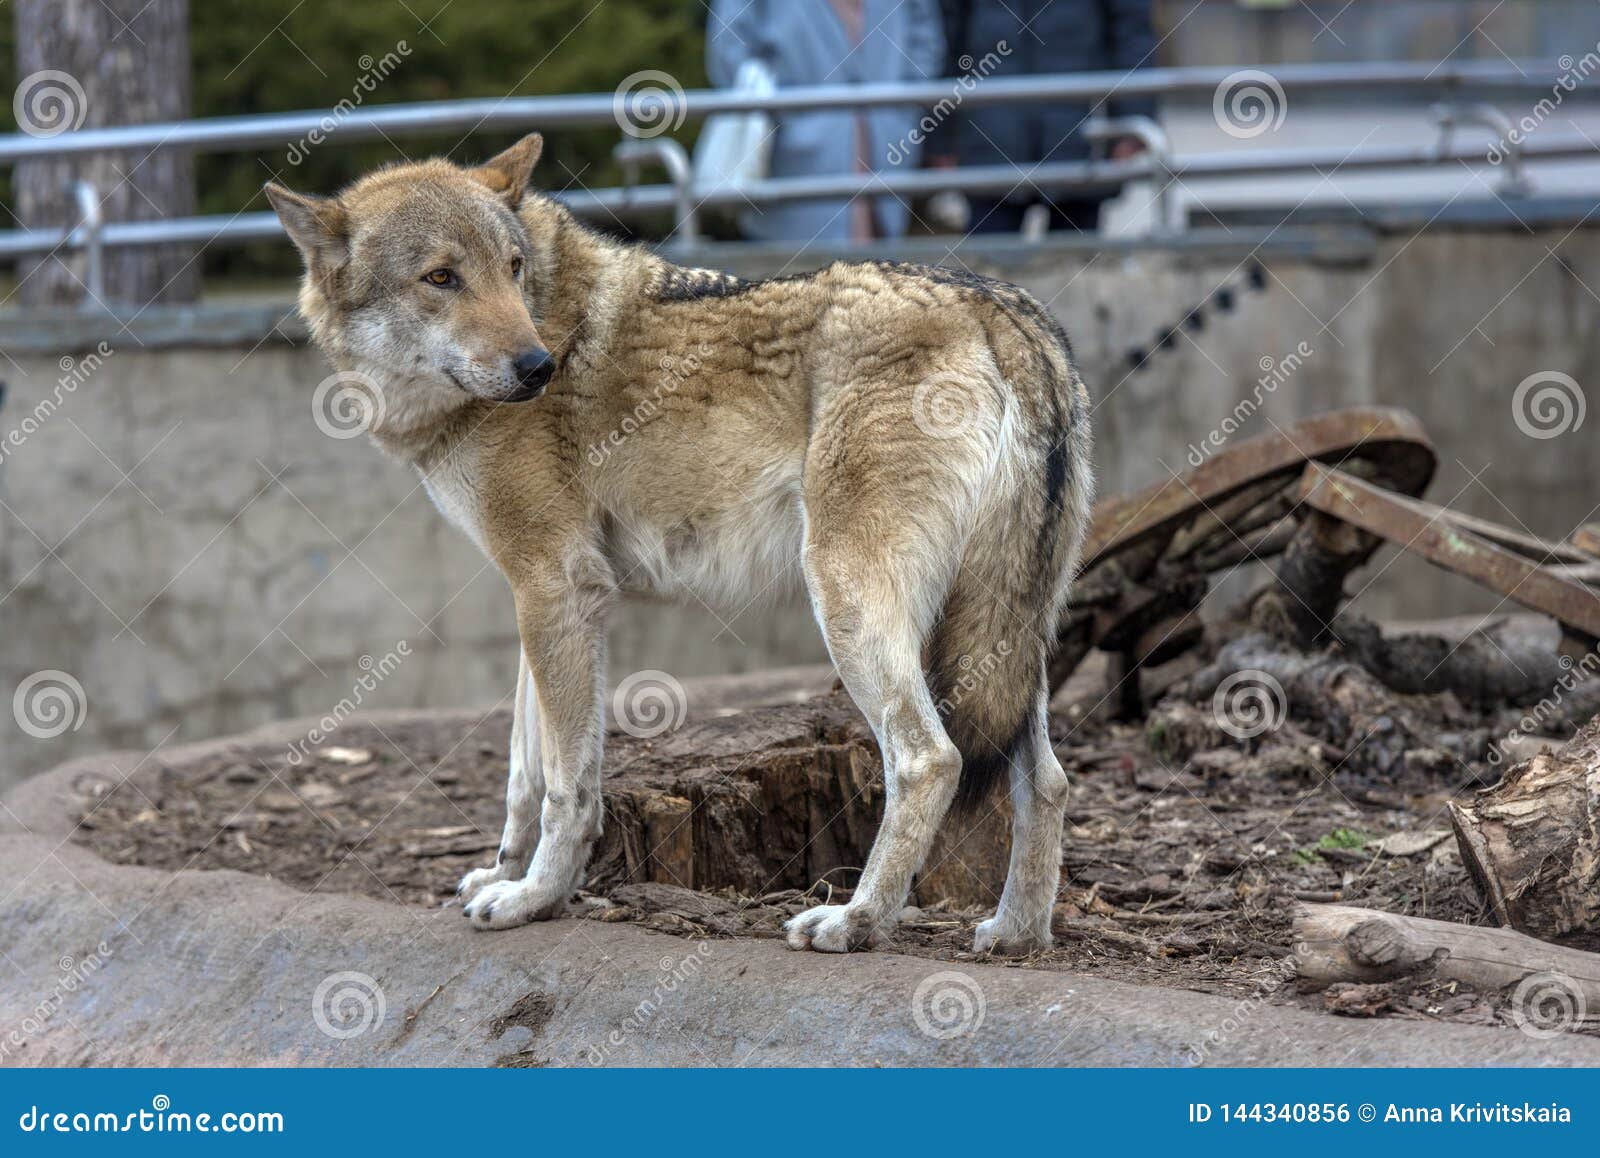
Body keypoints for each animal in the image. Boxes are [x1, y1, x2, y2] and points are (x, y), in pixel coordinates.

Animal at [266, 133, 1092, 954]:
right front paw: (500, 873)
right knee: (1049, 780)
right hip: (1001, 637)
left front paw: (535, 897)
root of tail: (1006, 309)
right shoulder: (538, 596)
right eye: (442, 277)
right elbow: (522, 772)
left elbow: (567, 785)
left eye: (512, 268)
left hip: (852, 606)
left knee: (931, 758)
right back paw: (1016, 932)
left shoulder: (557, 586)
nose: (538, 367)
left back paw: (854, 921)